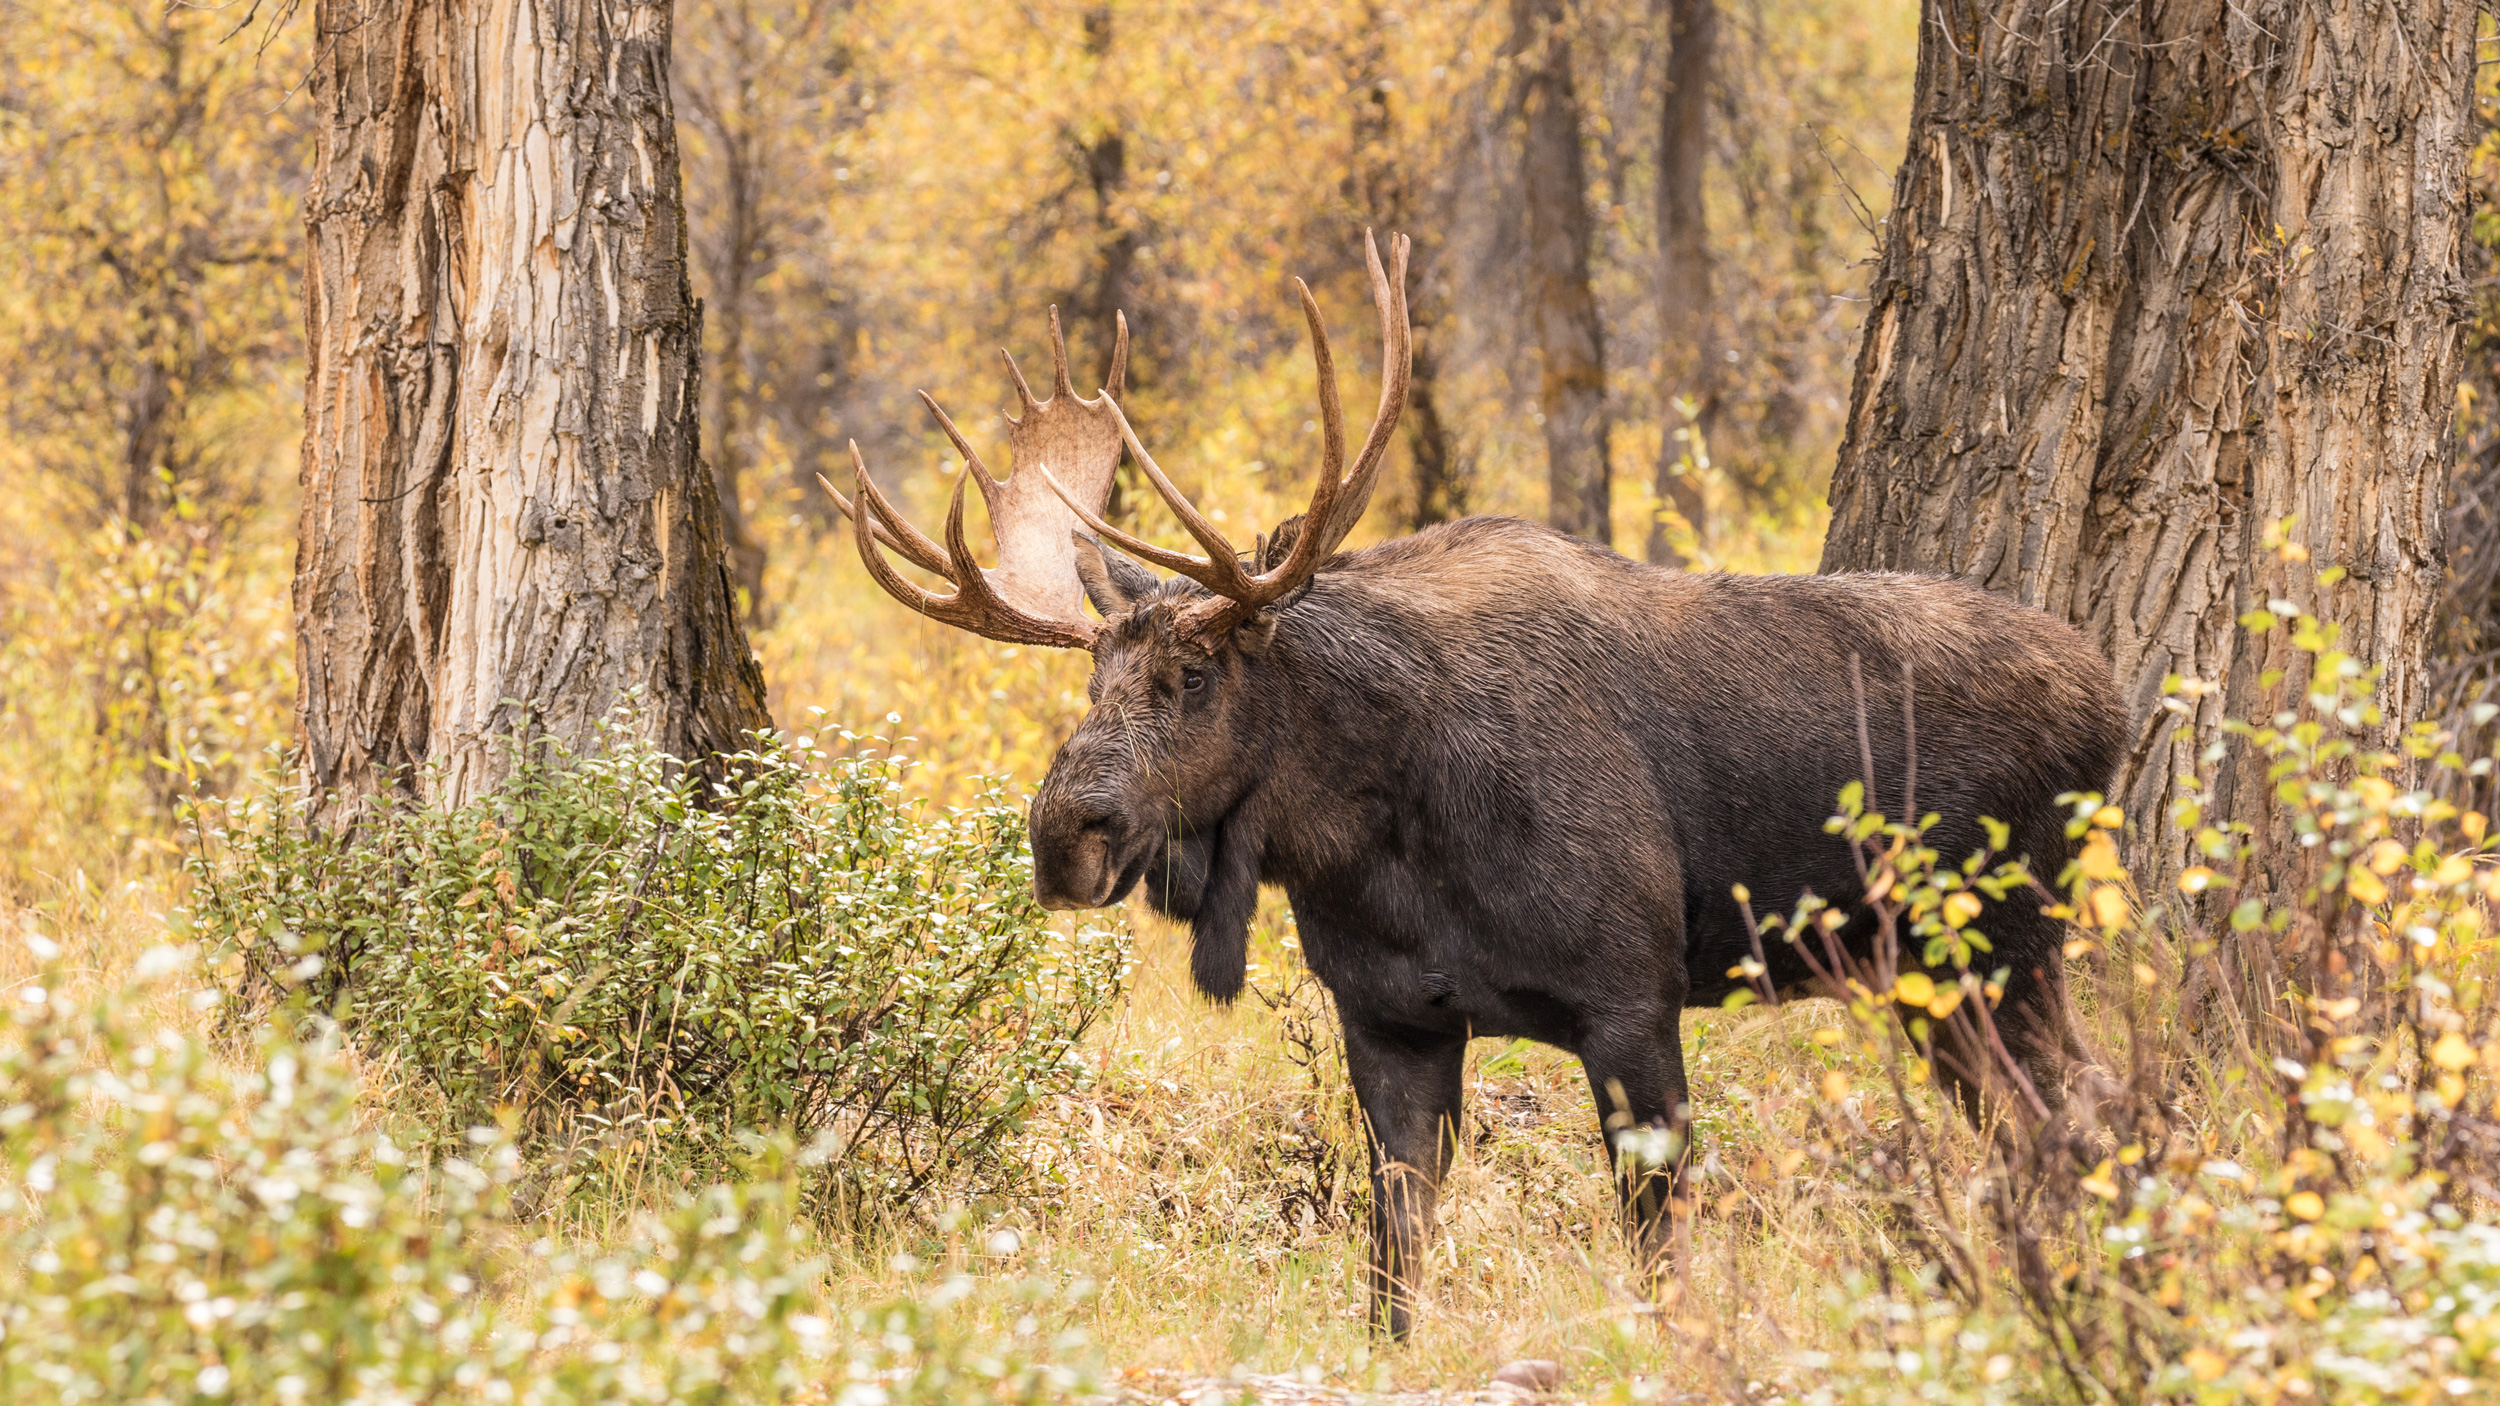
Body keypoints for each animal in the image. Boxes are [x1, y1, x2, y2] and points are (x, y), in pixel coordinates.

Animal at [822, 233, 2123, 1339]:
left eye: (1191, 673)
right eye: (1092, 675)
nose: (1063, 832)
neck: (1381, 847)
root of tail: (2113, 700)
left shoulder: (1631, 996)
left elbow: (1659, 1250)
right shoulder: (1391, 1016)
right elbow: (1392, 1258)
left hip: (2002, 947)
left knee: (2080, 1107)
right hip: (1941, 978)